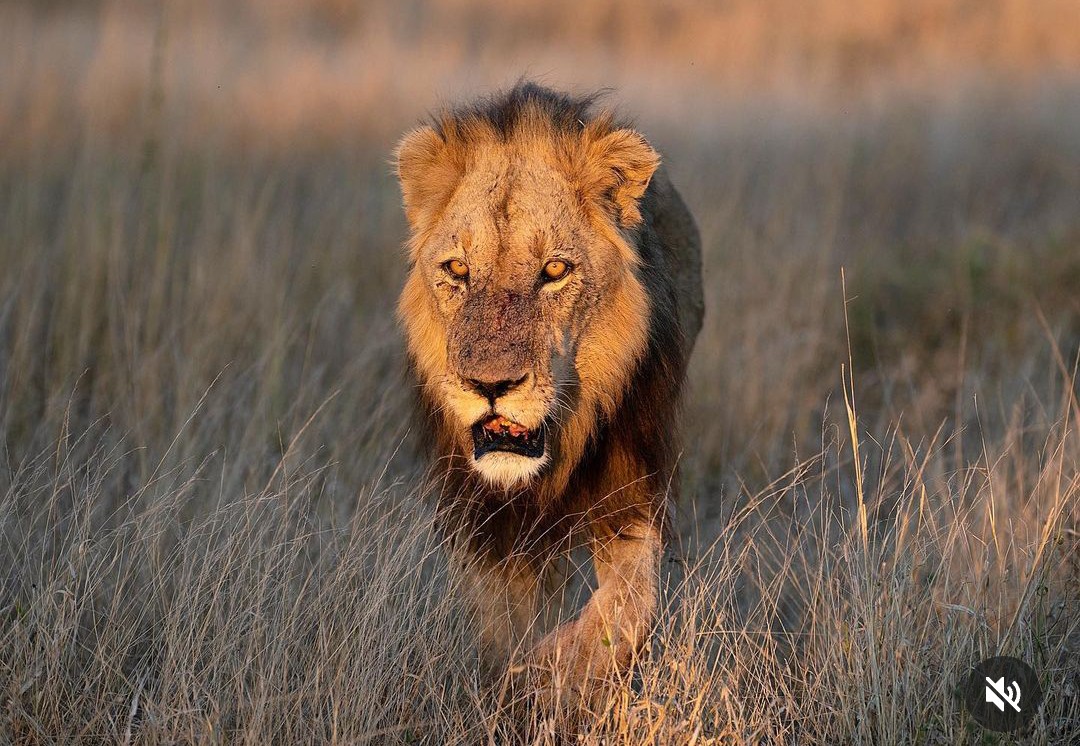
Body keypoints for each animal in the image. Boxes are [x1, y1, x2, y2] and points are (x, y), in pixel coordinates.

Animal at [395, 83, 703, 700]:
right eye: (457, 269)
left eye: (555, 270)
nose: (490, 386)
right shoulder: (487, 524)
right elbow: (500, 623)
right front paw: (510, 680)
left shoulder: (632, 489)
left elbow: (630, 605)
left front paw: (551, 672)